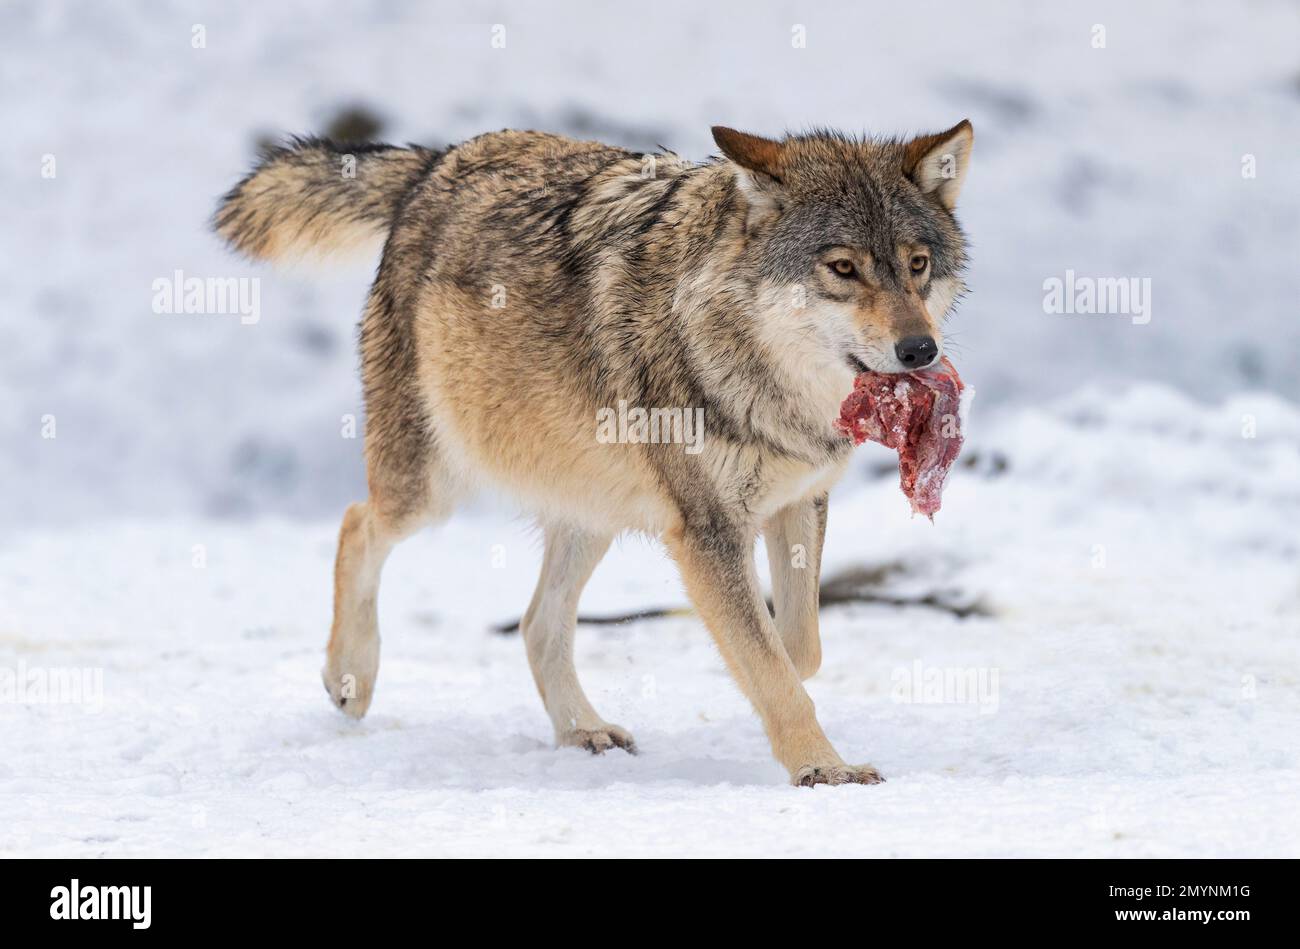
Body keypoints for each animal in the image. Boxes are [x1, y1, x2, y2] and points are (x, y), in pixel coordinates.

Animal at [215, 120, 973, 786]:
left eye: (917, 265)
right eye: (843, 268)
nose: (920, 350)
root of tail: (437, 163)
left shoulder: (799, 500)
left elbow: (799, 651)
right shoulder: (707, 531)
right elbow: (774, 666)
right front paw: (824, 767)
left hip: (591, 512)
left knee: (533, 625)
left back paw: (583, 728)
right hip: (433, 487)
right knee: (356, 522)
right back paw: (351, 678)